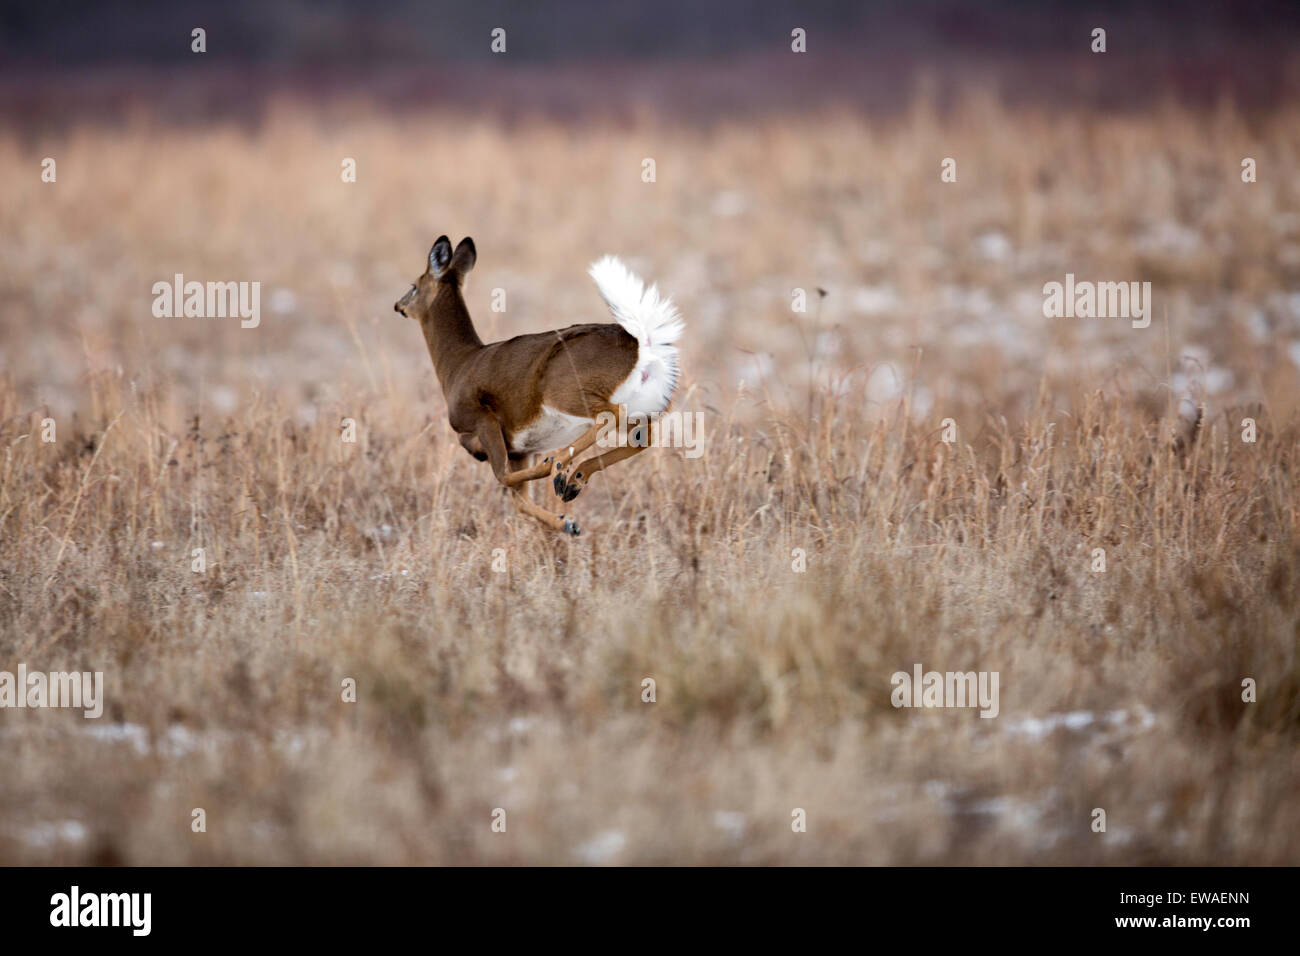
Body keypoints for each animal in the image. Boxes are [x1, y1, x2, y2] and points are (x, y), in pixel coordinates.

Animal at [395, 236, 684, 536]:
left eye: (413, 286)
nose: (398, 305)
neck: (459, 363)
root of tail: (643, 345)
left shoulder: (482, 418)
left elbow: (503, 477)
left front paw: (552, 476)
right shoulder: (522, 450)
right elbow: (520, 499)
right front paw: (567, 522)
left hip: (564, 393)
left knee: (608, 417)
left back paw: (559, 467)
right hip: (640, 412)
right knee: (641, 440)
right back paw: (572, 481)